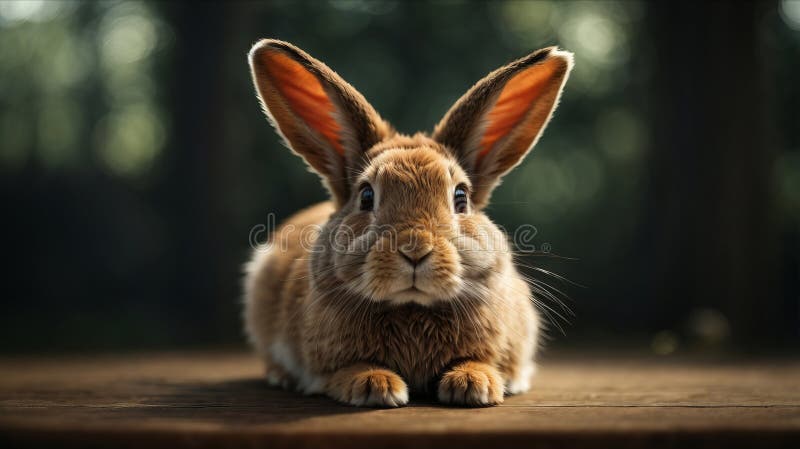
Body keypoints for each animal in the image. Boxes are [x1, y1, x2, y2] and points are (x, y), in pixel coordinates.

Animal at [243, 39, 572, 407]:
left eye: (461, 197)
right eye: (366, 196)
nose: (415, 250)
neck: (413, 308)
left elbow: (482, 362)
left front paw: (474, 383)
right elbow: (348, 369)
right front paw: (375, 385)